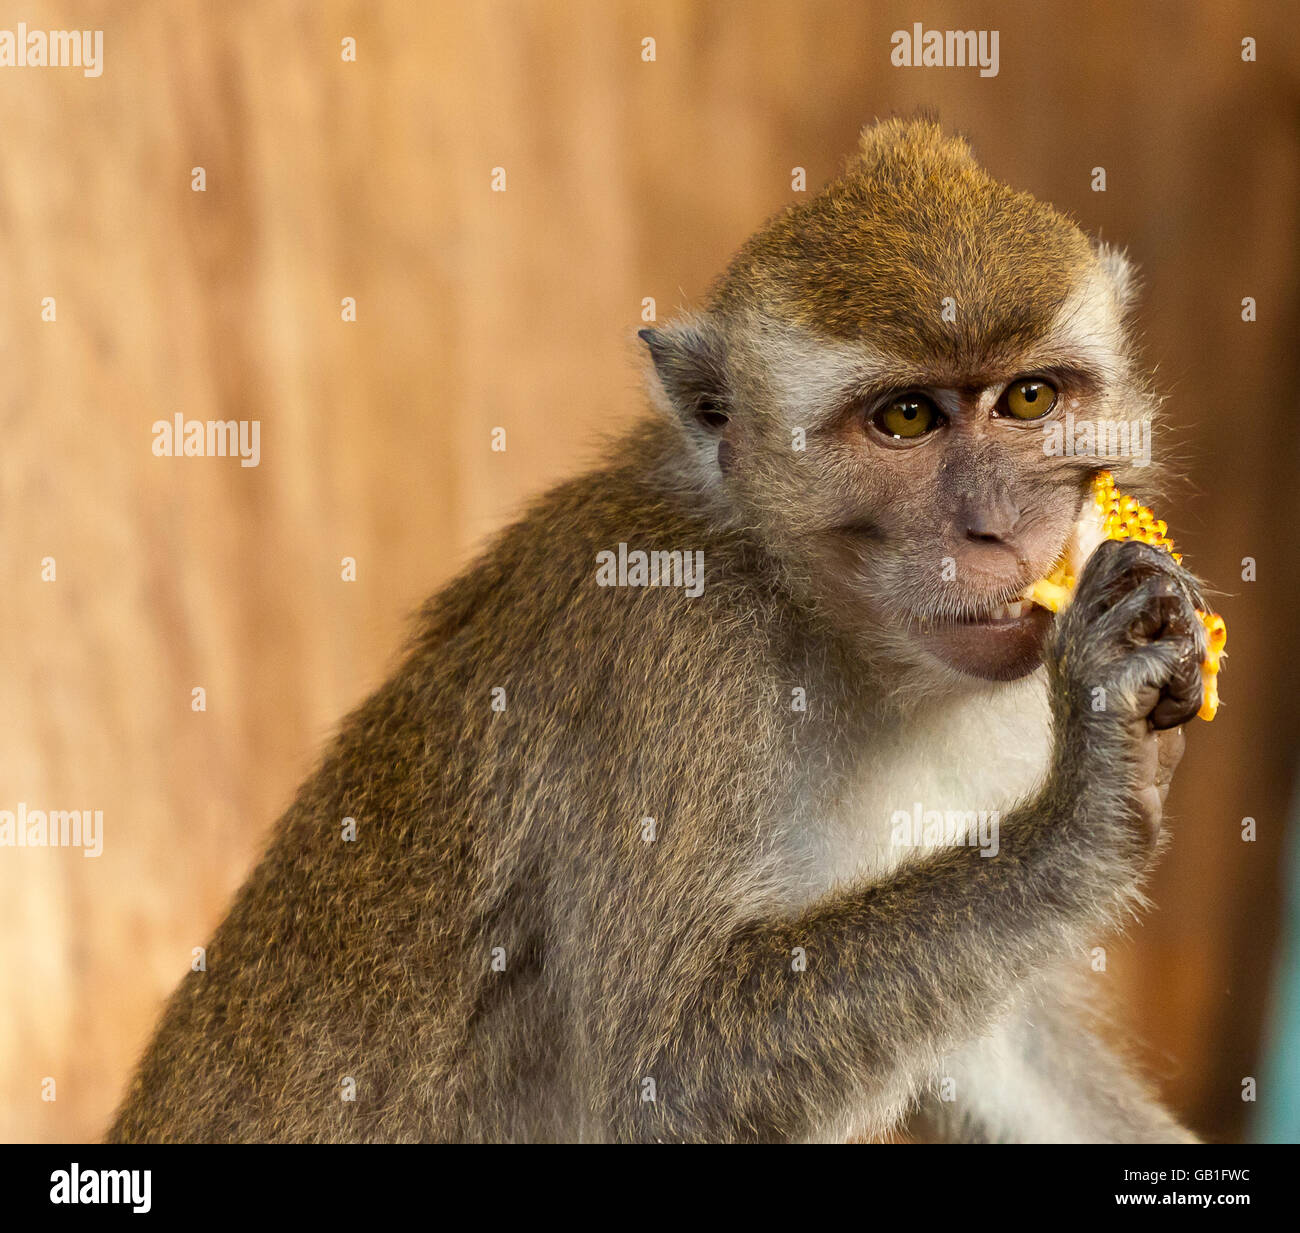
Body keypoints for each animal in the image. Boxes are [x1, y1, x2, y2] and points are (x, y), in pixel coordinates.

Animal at [108, 118, 1209, 1144]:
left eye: (1029, 396)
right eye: (905, 418)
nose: (1000, 527)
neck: (813, 613)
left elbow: (1002, 1044)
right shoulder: (680, 657)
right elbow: (659, 1079)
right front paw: (1088, 806)